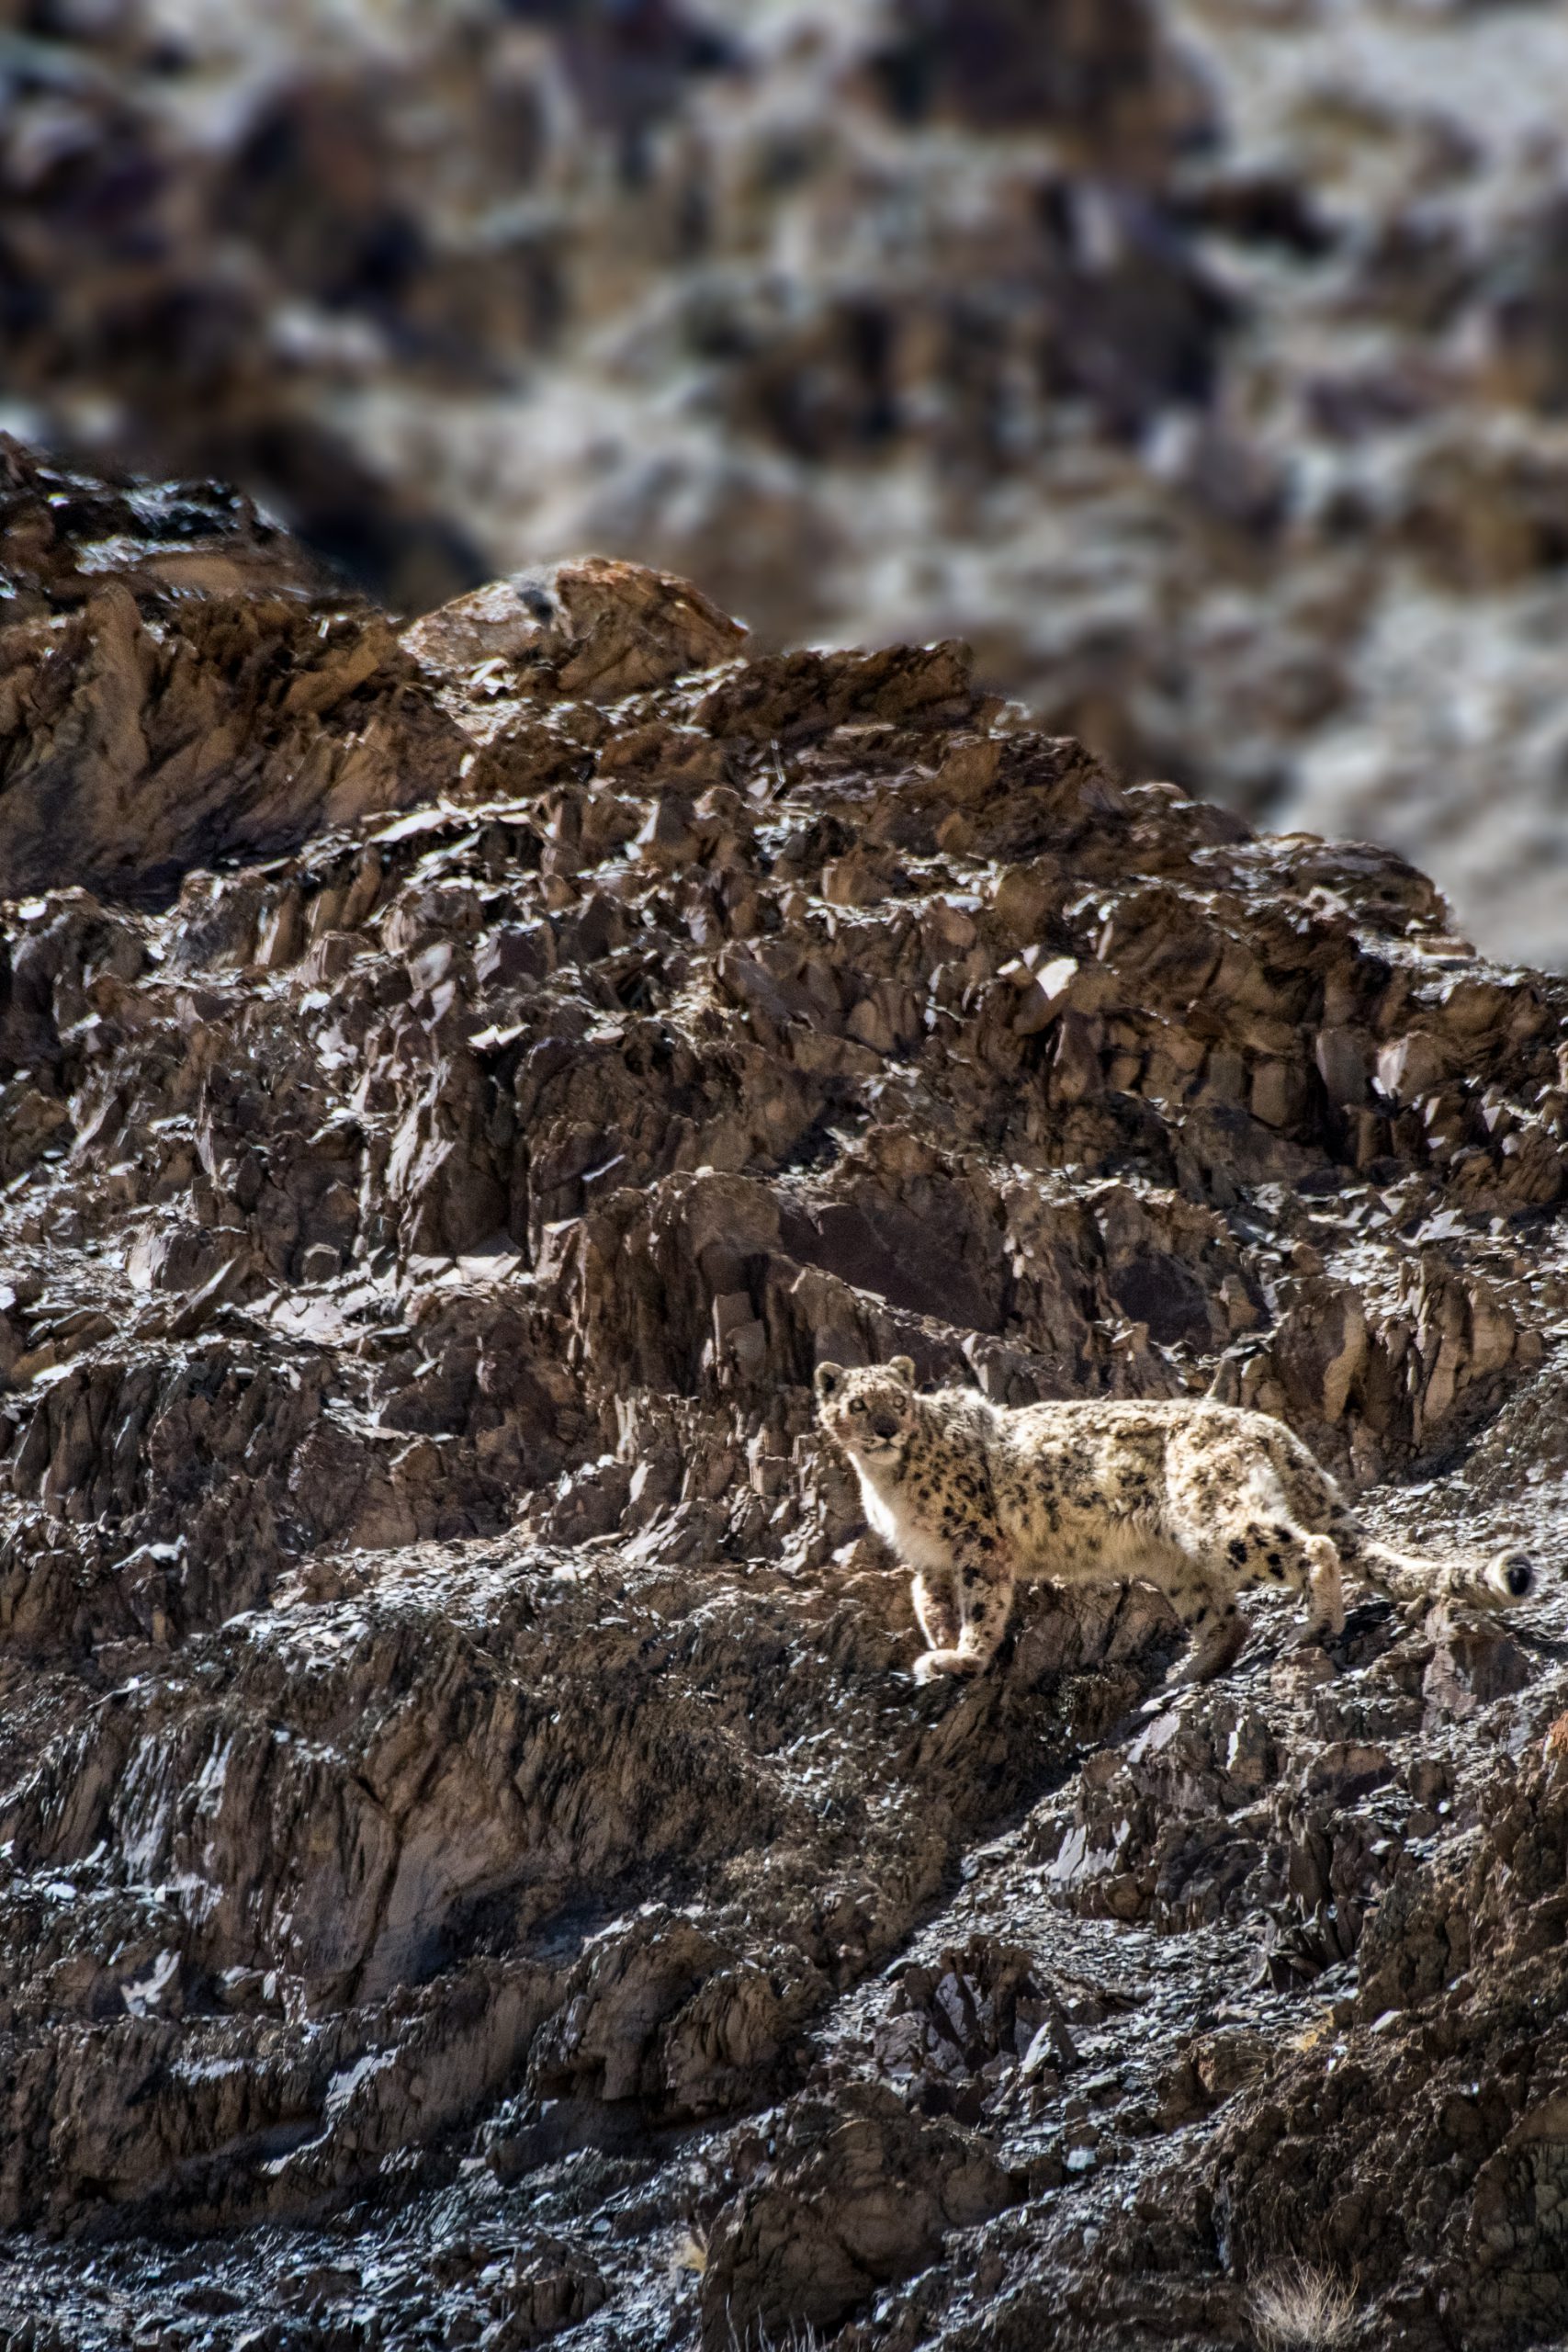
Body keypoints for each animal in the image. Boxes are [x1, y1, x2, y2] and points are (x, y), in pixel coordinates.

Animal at [814, 1357, 1536, 1685]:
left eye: (898, 1399)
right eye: (858, 1403)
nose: (885, 1428)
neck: (887, 1487)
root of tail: (1265, 1424)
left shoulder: (977, 1542)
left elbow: (983, 1604)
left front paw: (965, 1656)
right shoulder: (928, 1561)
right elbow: (931, 1604)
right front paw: (939, 1651)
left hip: (1215, 1518)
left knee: (1314, 1546)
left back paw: (1315, 1626)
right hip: (1173, 1560)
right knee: (1224, 1615)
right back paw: (1188, 1674)